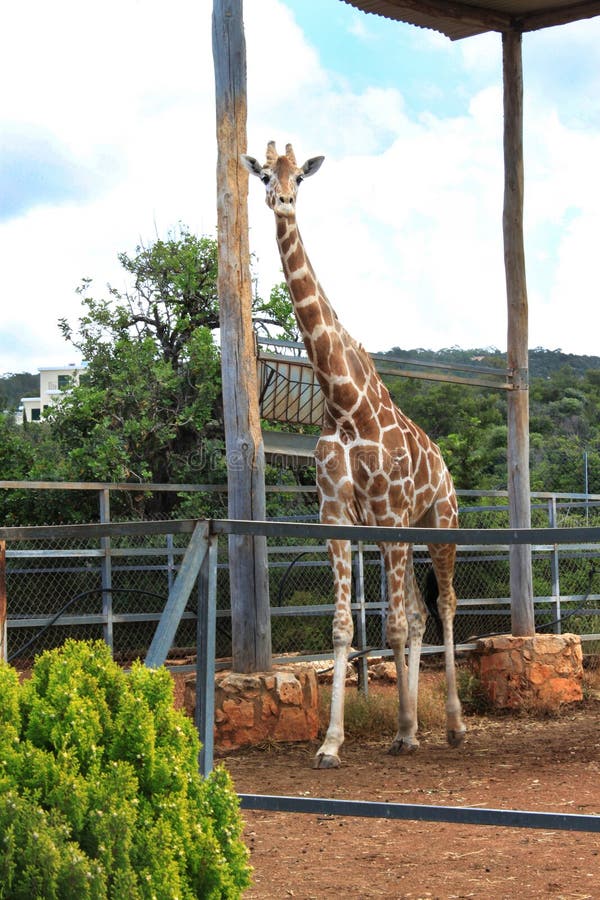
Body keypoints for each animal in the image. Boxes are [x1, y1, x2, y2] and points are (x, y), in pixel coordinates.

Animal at [242, 142, 466, 768]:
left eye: (300, 178)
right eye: (263, 175)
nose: (281, 201)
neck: (343, 401)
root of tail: (444, 467)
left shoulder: (388, 513)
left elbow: (391, 627)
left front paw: (404, 730)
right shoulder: (337, 514)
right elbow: (346, 626)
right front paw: (332, 742)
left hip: (439, 523)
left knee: (443, 606)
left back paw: (454, 725)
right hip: (410, 532)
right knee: (418, 612)